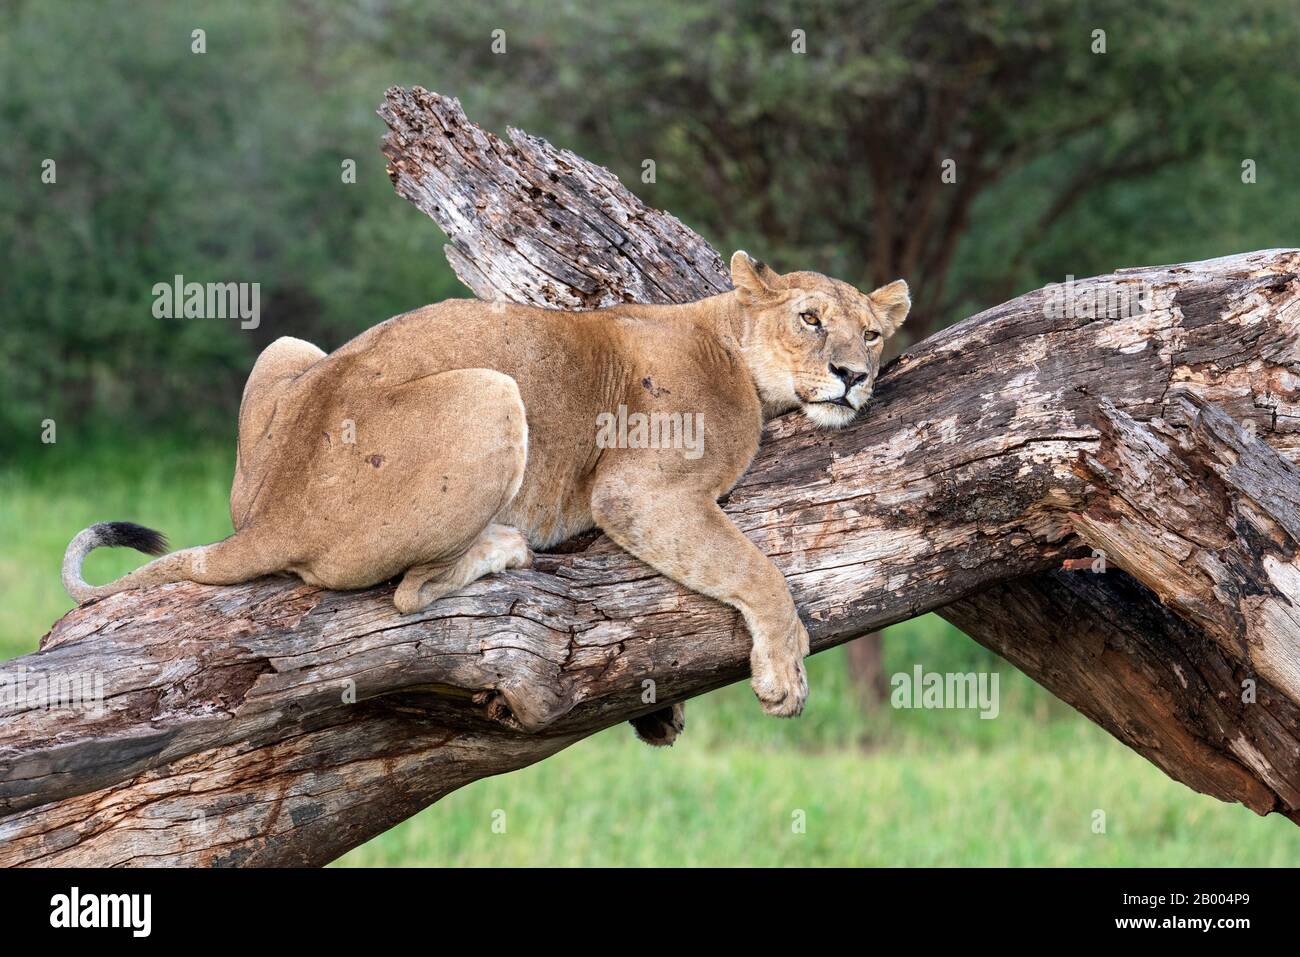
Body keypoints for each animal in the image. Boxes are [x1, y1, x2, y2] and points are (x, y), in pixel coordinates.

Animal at [62, 252, 909, 744]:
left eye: (871, 334)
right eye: (810, 319)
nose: (852, 376)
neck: (731, 344)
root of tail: (272, 515)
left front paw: (663, 713)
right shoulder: (638, 490)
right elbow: (754, 569)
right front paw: (784, 673)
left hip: (289, 351)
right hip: (493, 392)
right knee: (407, 590)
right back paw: (503, 545)